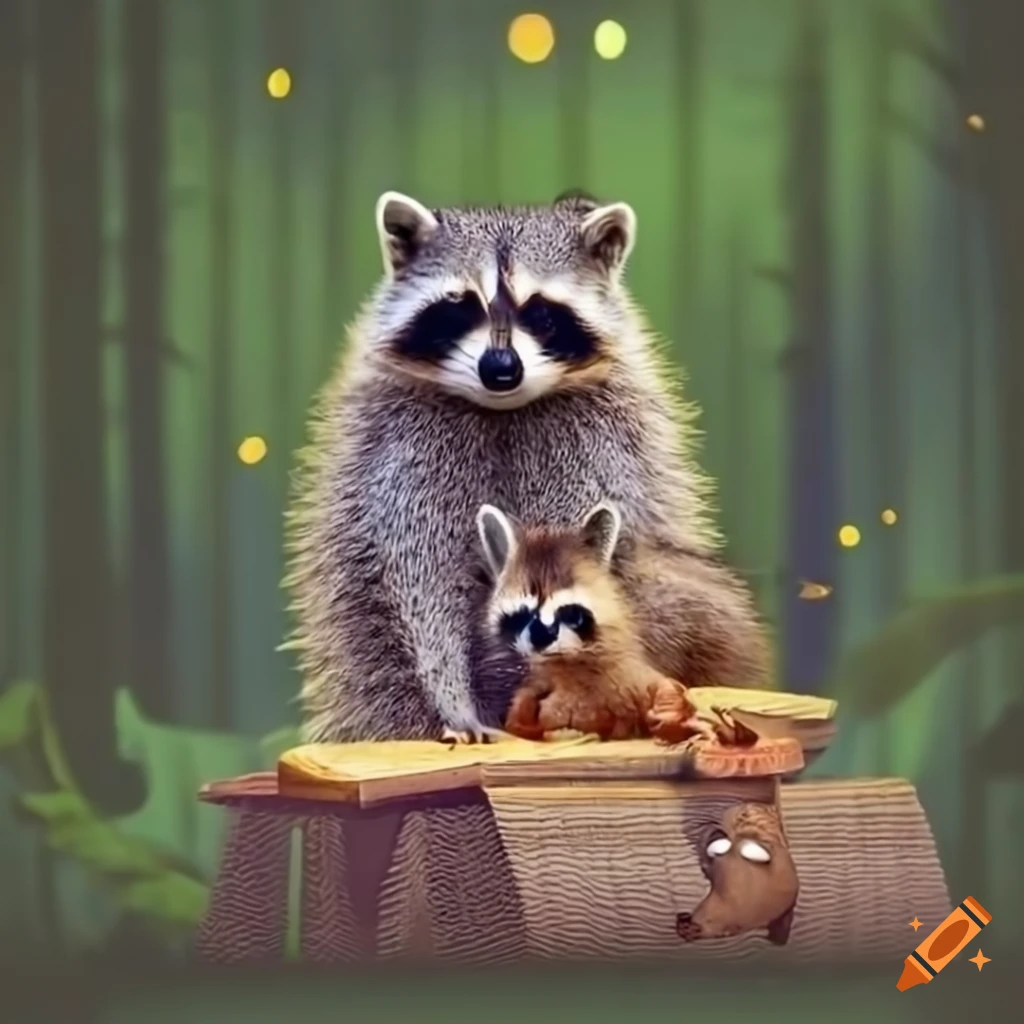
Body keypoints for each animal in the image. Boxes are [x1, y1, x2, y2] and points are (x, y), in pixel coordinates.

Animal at [284, 189, 771, 744]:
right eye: (460, 308)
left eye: (541, 313)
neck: (501, 409)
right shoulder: (400, 457)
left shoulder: (593, 443)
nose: (501, 369)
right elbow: (416, 583)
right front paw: (455, 706)